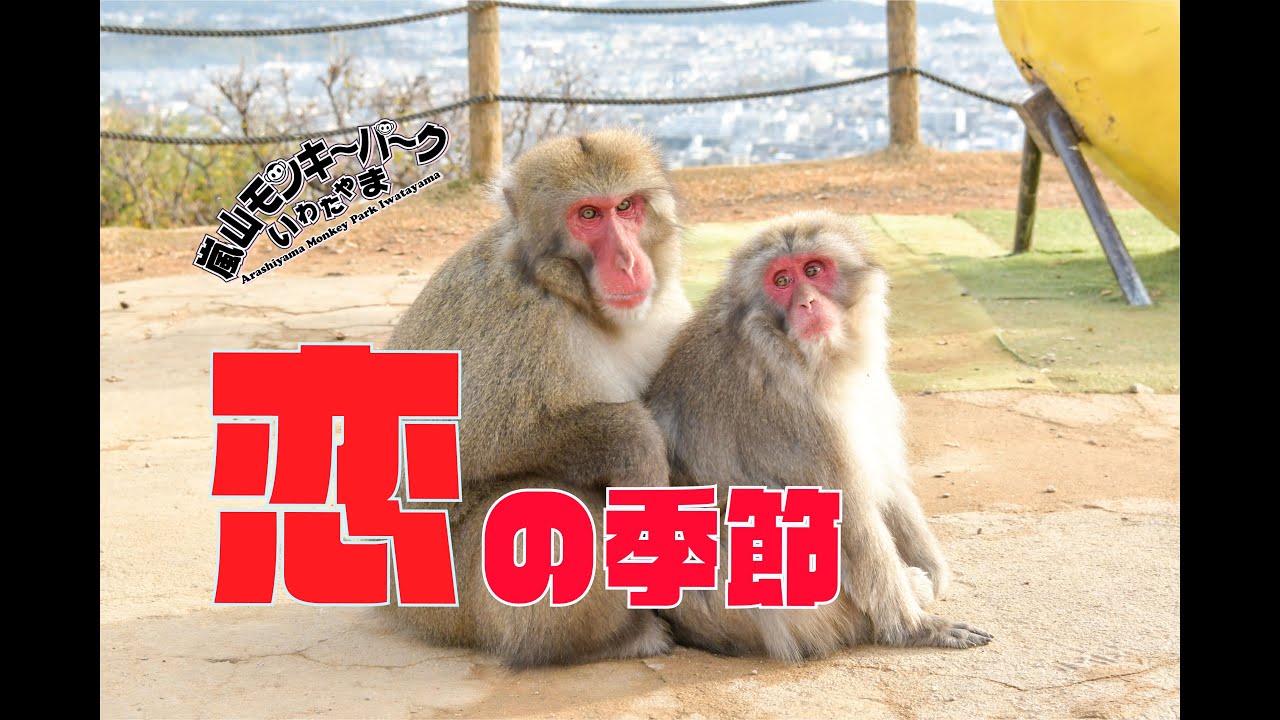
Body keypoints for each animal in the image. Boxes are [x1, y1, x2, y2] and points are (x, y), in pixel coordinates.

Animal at [383, 128, 692, 667]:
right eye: (588, 215)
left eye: (626, 206)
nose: (629, 261)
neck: (576, 300)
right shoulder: (518, 322)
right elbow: (470, 450)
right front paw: (637, 449)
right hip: (450, 606)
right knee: (538, 516)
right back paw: (609, 640)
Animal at [644, 210, 992, 661]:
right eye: (781, 281)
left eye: (813, 270)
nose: (807, 302)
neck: (806, 356)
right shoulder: (796, 415)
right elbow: (845, 516)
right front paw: (915, 626)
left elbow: (883, 472)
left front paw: (933, 566)